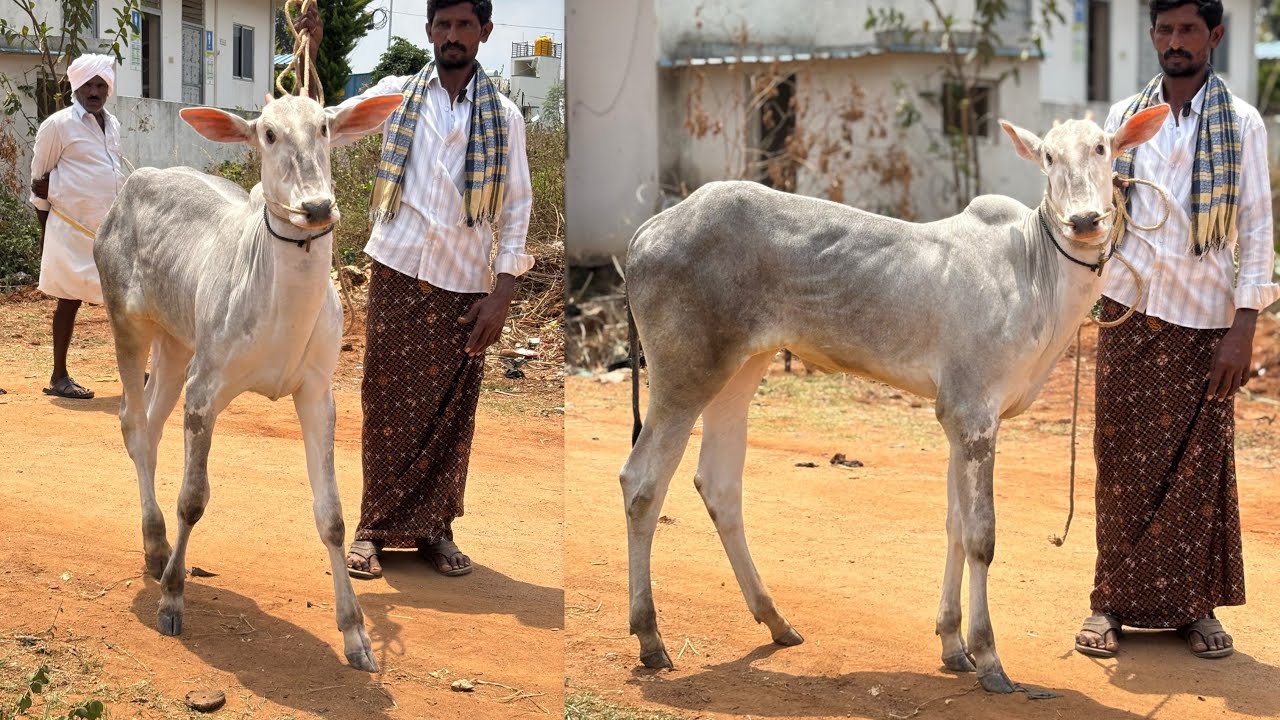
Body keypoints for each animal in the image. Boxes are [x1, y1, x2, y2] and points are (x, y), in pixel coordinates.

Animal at [93, 91, 402, 672]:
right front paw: (172, 600)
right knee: (133, 426)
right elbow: (192, 498)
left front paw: (356, 635)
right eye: (269, 134)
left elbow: (331, 516)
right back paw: (155, 545)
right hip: (128, 323)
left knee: (152, 423)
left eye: (325, 128)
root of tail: (132, 184)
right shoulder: (206, 387)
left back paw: (157, 545)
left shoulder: (317, 393)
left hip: (177, 344)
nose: (317, 207)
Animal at [619, 104, 1170, 692]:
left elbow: (955, 527)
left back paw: (776, 621)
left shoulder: (960, 420)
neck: (1034, 269)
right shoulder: (973, 414)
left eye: (1103, 149)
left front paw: (952, 645)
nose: (1085, 221)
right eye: (1048, 156)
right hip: (685, 375)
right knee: (642, 485)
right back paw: (650, 638)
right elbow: (981, 536)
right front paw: (988, 658)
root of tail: (649, 229)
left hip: (743, 369)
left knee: (719, 485)